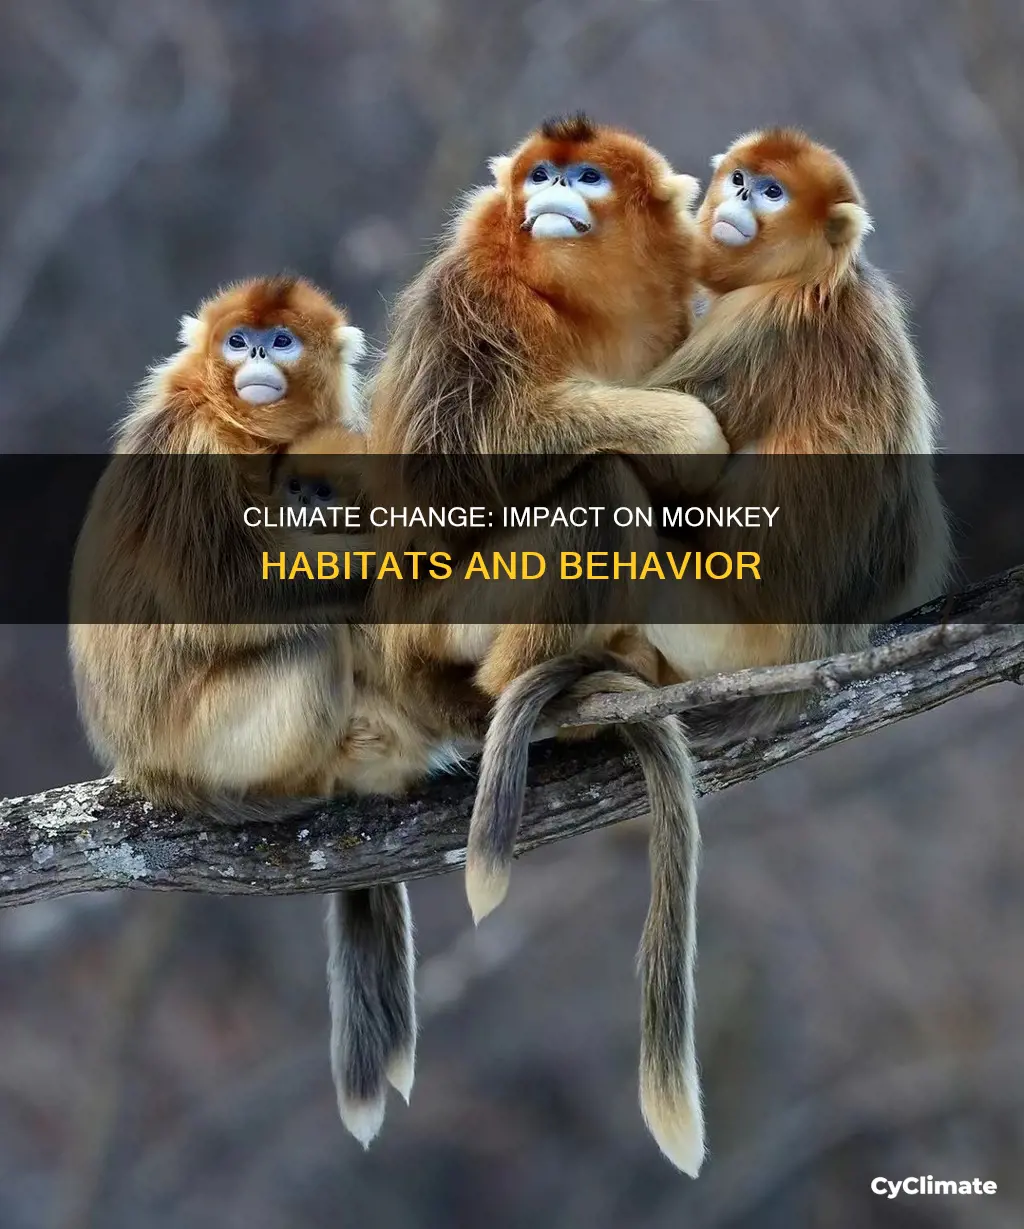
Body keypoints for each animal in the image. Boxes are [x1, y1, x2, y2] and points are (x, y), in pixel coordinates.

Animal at [465, 129, 950, 1176]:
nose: (734, 203)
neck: (819, 281)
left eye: (771, 192)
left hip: (700, 613)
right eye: (741, 179)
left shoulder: (752, 325)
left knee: (609, 477)